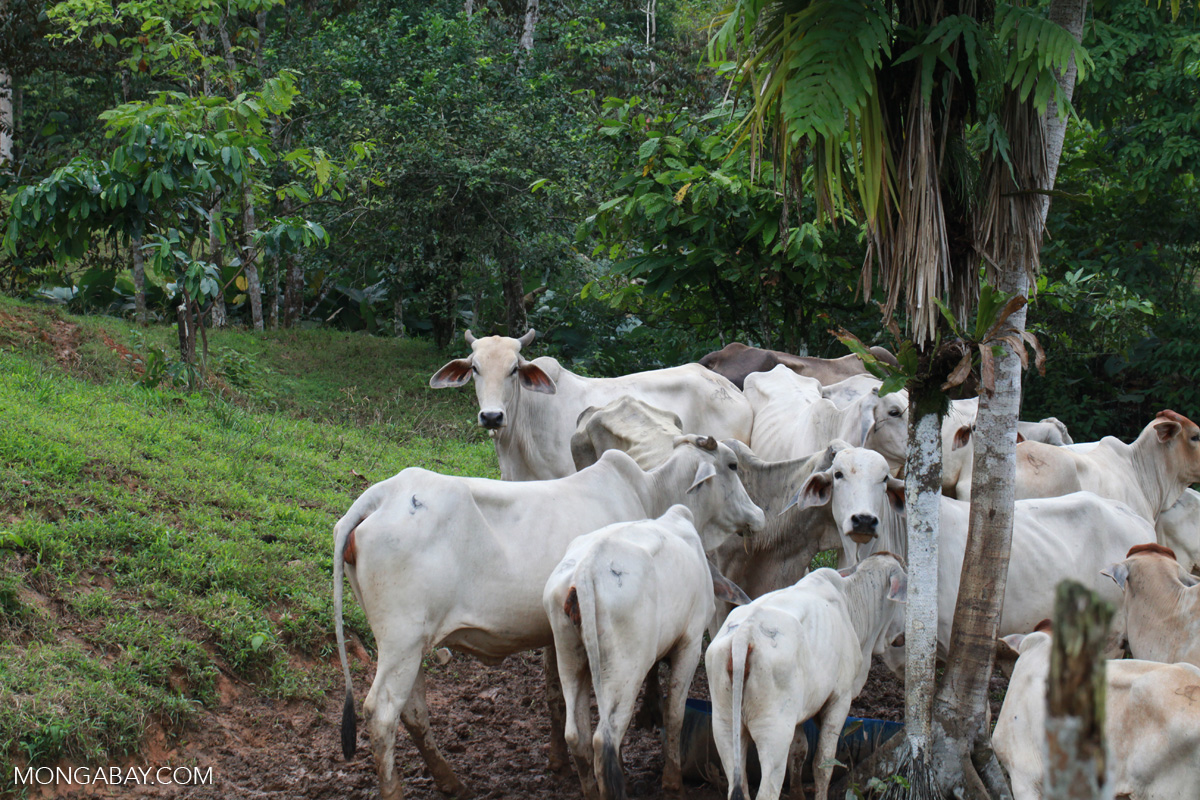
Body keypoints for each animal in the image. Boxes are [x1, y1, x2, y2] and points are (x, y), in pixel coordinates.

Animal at [543, 505, 752, 800]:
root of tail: (585, 570)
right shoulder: (690, 644)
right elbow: (674, 715)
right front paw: (673, 784)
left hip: (569, 657)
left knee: (577, 735)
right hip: (624, 669)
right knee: (605, 738)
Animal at [705, 553, 908, 800]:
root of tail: (746, 631)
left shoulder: (801, 711)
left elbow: (800, 749)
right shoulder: (839, 699)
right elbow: (824, 761)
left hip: (724, 726)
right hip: (774, 732)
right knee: (768, 789)